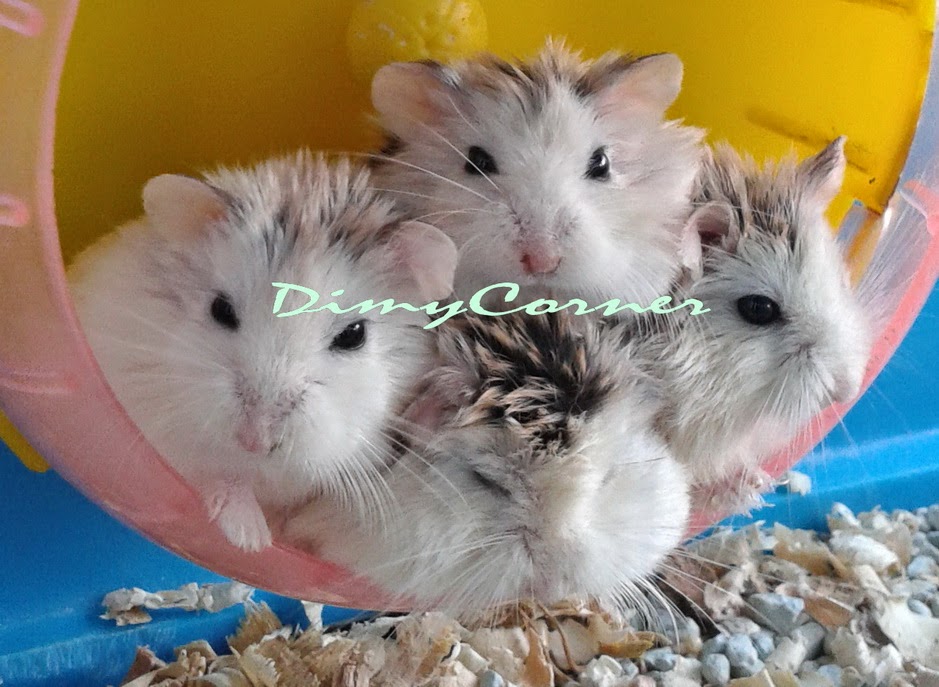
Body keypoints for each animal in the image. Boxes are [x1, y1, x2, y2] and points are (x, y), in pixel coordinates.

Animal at [67, 151, 458, 551]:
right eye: (221, 310)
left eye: (353, 335)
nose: (256, 441)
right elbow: (209, 470)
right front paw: (250, 539)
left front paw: (267, 537)